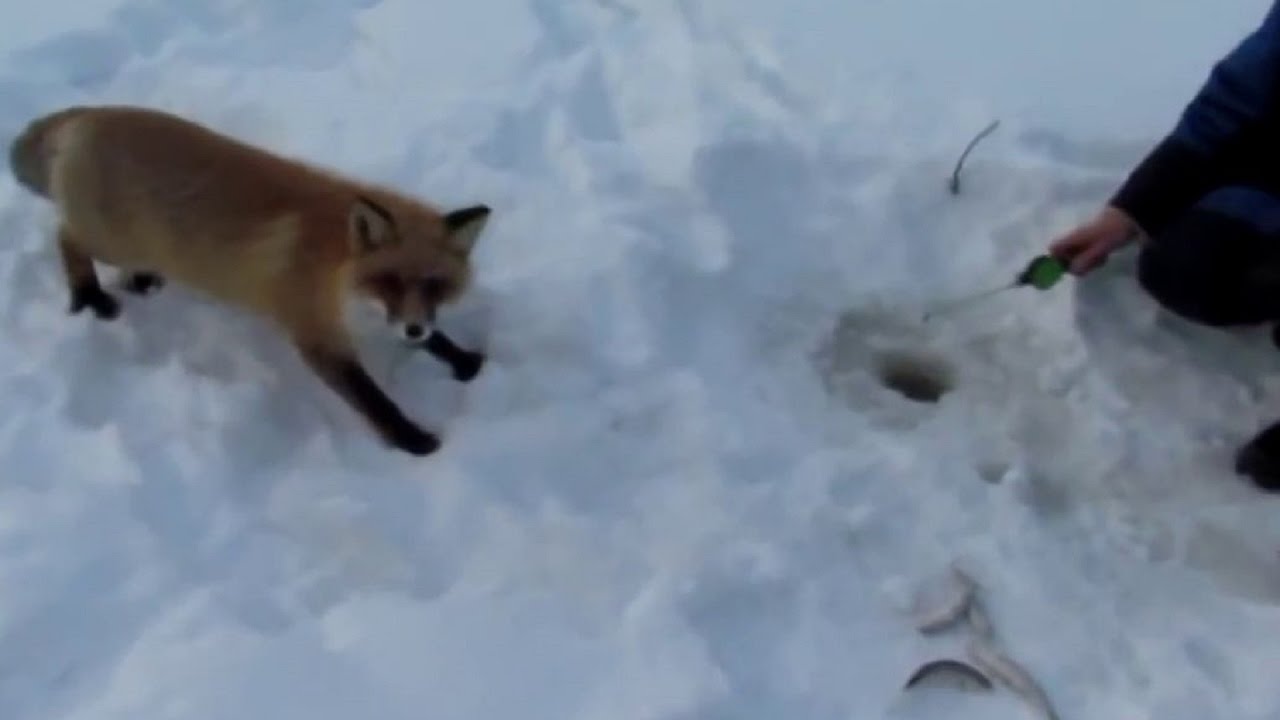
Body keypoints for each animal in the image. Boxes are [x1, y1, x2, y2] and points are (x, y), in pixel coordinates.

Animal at [8, 104, 493, 457]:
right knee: (65, 237)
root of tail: (89, 114)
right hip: (108, 240)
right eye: (389, 280)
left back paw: (140, 279)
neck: (336, 266)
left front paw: (462, 358)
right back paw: (88, 294)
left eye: (435, 285)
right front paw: (412, 439)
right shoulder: (315, 332)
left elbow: (437, 340)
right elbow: (372, 399)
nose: (413, 329)